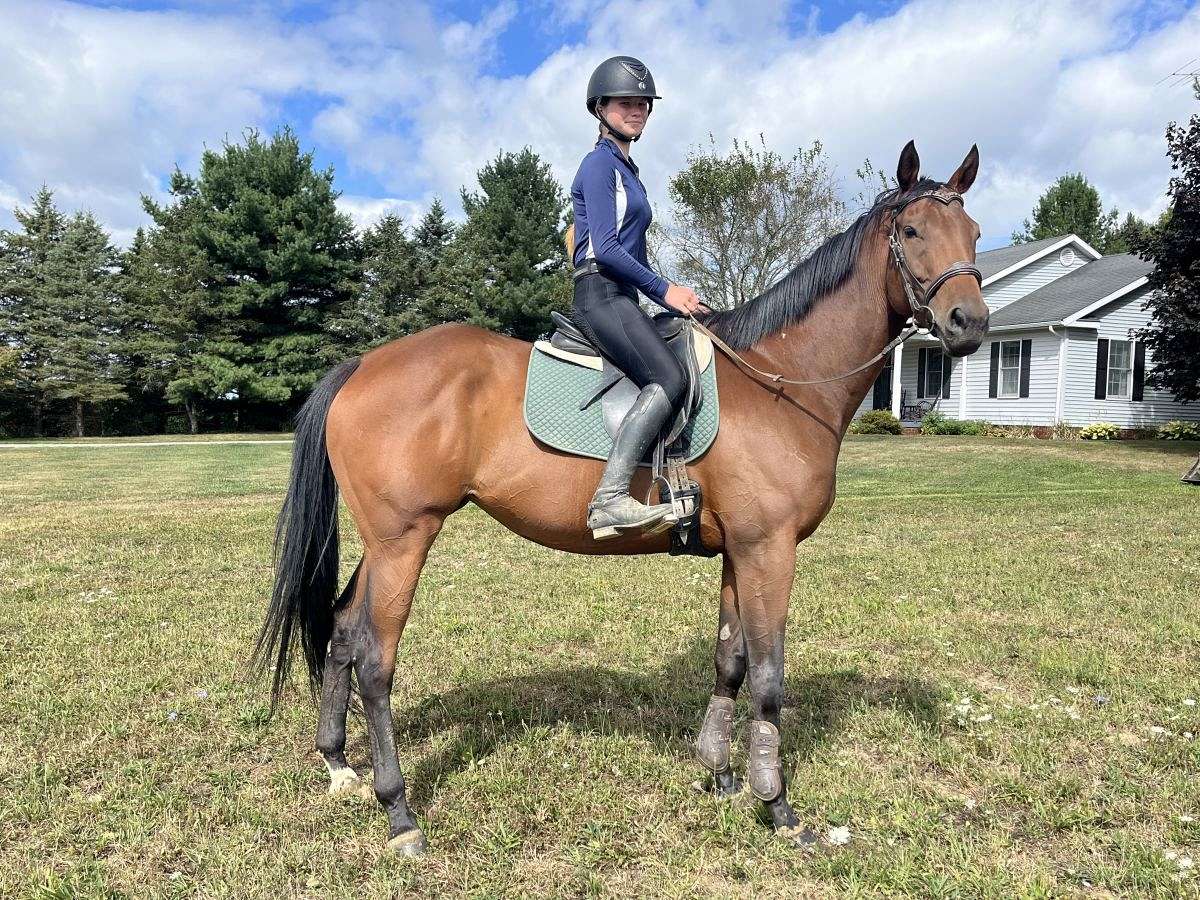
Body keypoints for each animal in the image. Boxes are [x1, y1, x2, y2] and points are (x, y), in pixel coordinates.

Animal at [253, 141, 990, 855]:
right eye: (914, 231)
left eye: (976, 233)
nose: (971, 323)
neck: (780, 380)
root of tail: (364, 364)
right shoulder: (769, 550)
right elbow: (768, 678)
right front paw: (778, 808)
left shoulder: (740, 552)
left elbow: (729, 661)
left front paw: (721, 775)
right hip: (406, 538)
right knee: (376, 661)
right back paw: (399, 812)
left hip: (383, 542)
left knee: (342, 631)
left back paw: (338, 764)